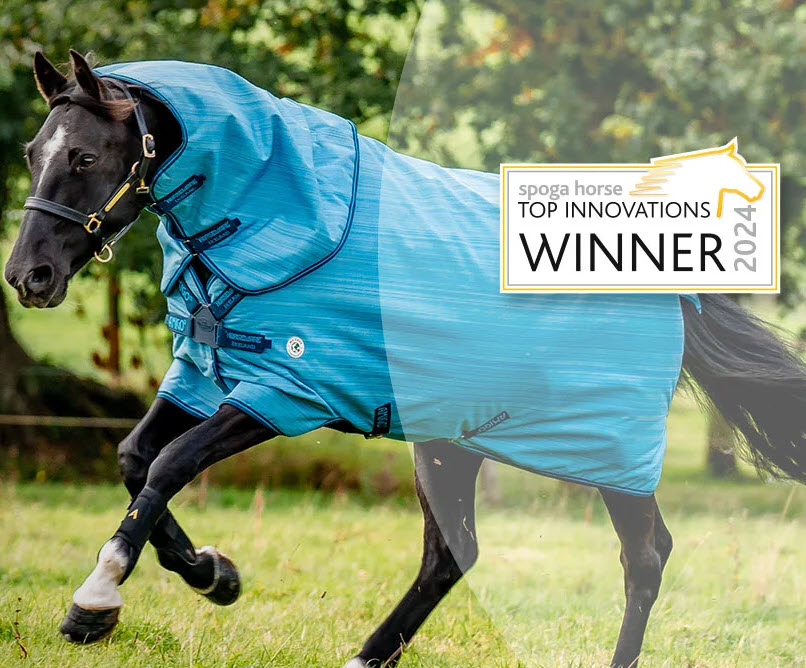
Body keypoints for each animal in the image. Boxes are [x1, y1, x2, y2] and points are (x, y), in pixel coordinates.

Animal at [5, 51, 806, 668]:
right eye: (31, 154)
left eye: (83, 156)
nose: (28, 277)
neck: (272, 216)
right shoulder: (203, 374)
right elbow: (135, 460)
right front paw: (214, 575)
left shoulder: (288, 390)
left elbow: (170, 465)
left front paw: (95, 603)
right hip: (453, 440)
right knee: (452, 556)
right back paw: (364, 657)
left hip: (607, 448)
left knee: (645, 558)